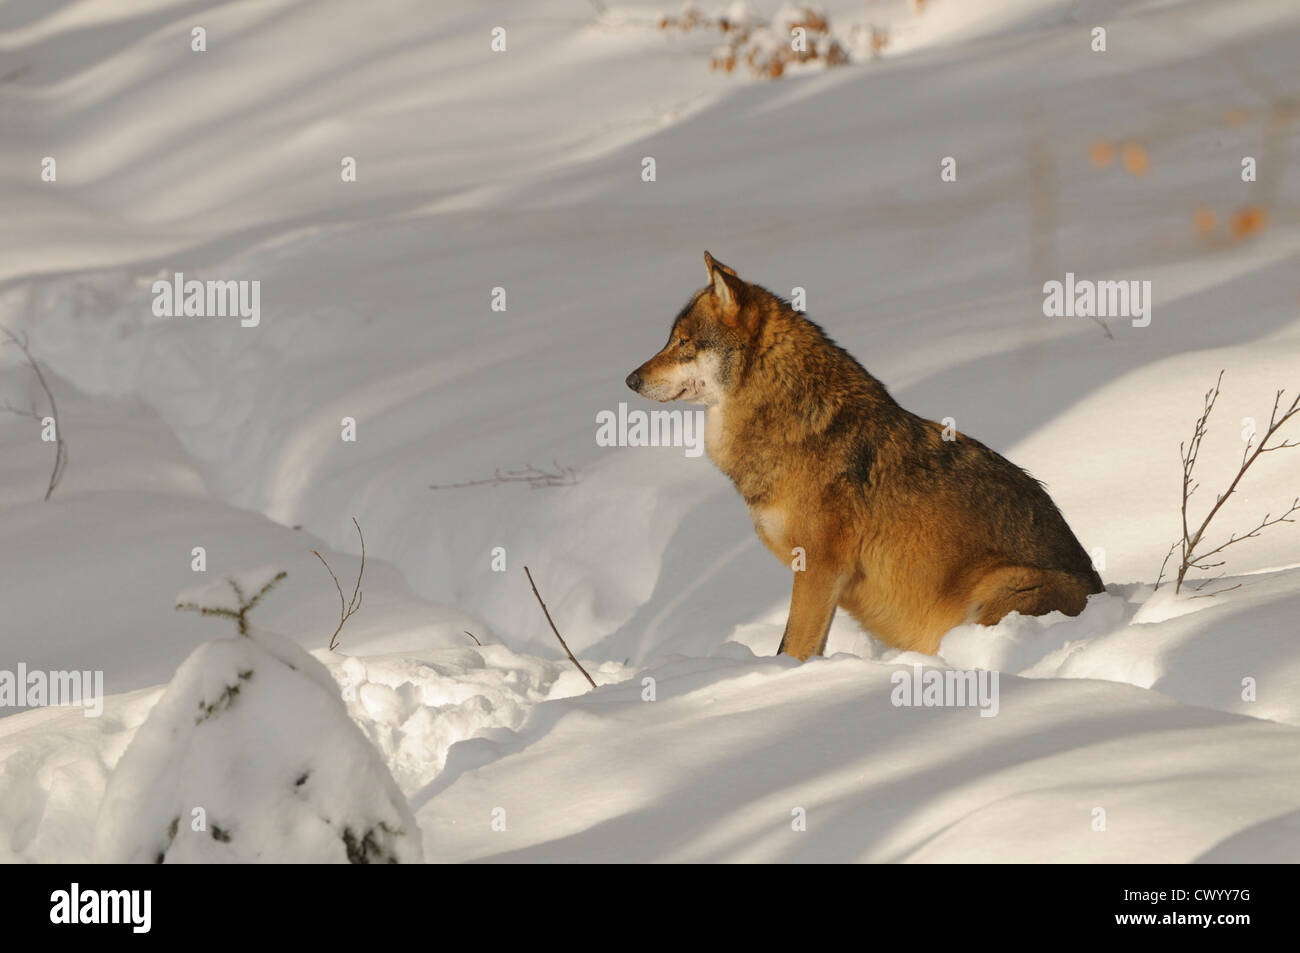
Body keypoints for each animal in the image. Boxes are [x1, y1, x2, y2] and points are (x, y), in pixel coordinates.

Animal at [626, 252, 1103, 659]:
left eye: (683, 342)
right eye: (670, 340)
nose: (630, 379)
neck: (793, 422)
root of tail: (1100, 589)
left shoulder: (819, 569)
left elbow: (792, 648)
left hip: (999, 588)